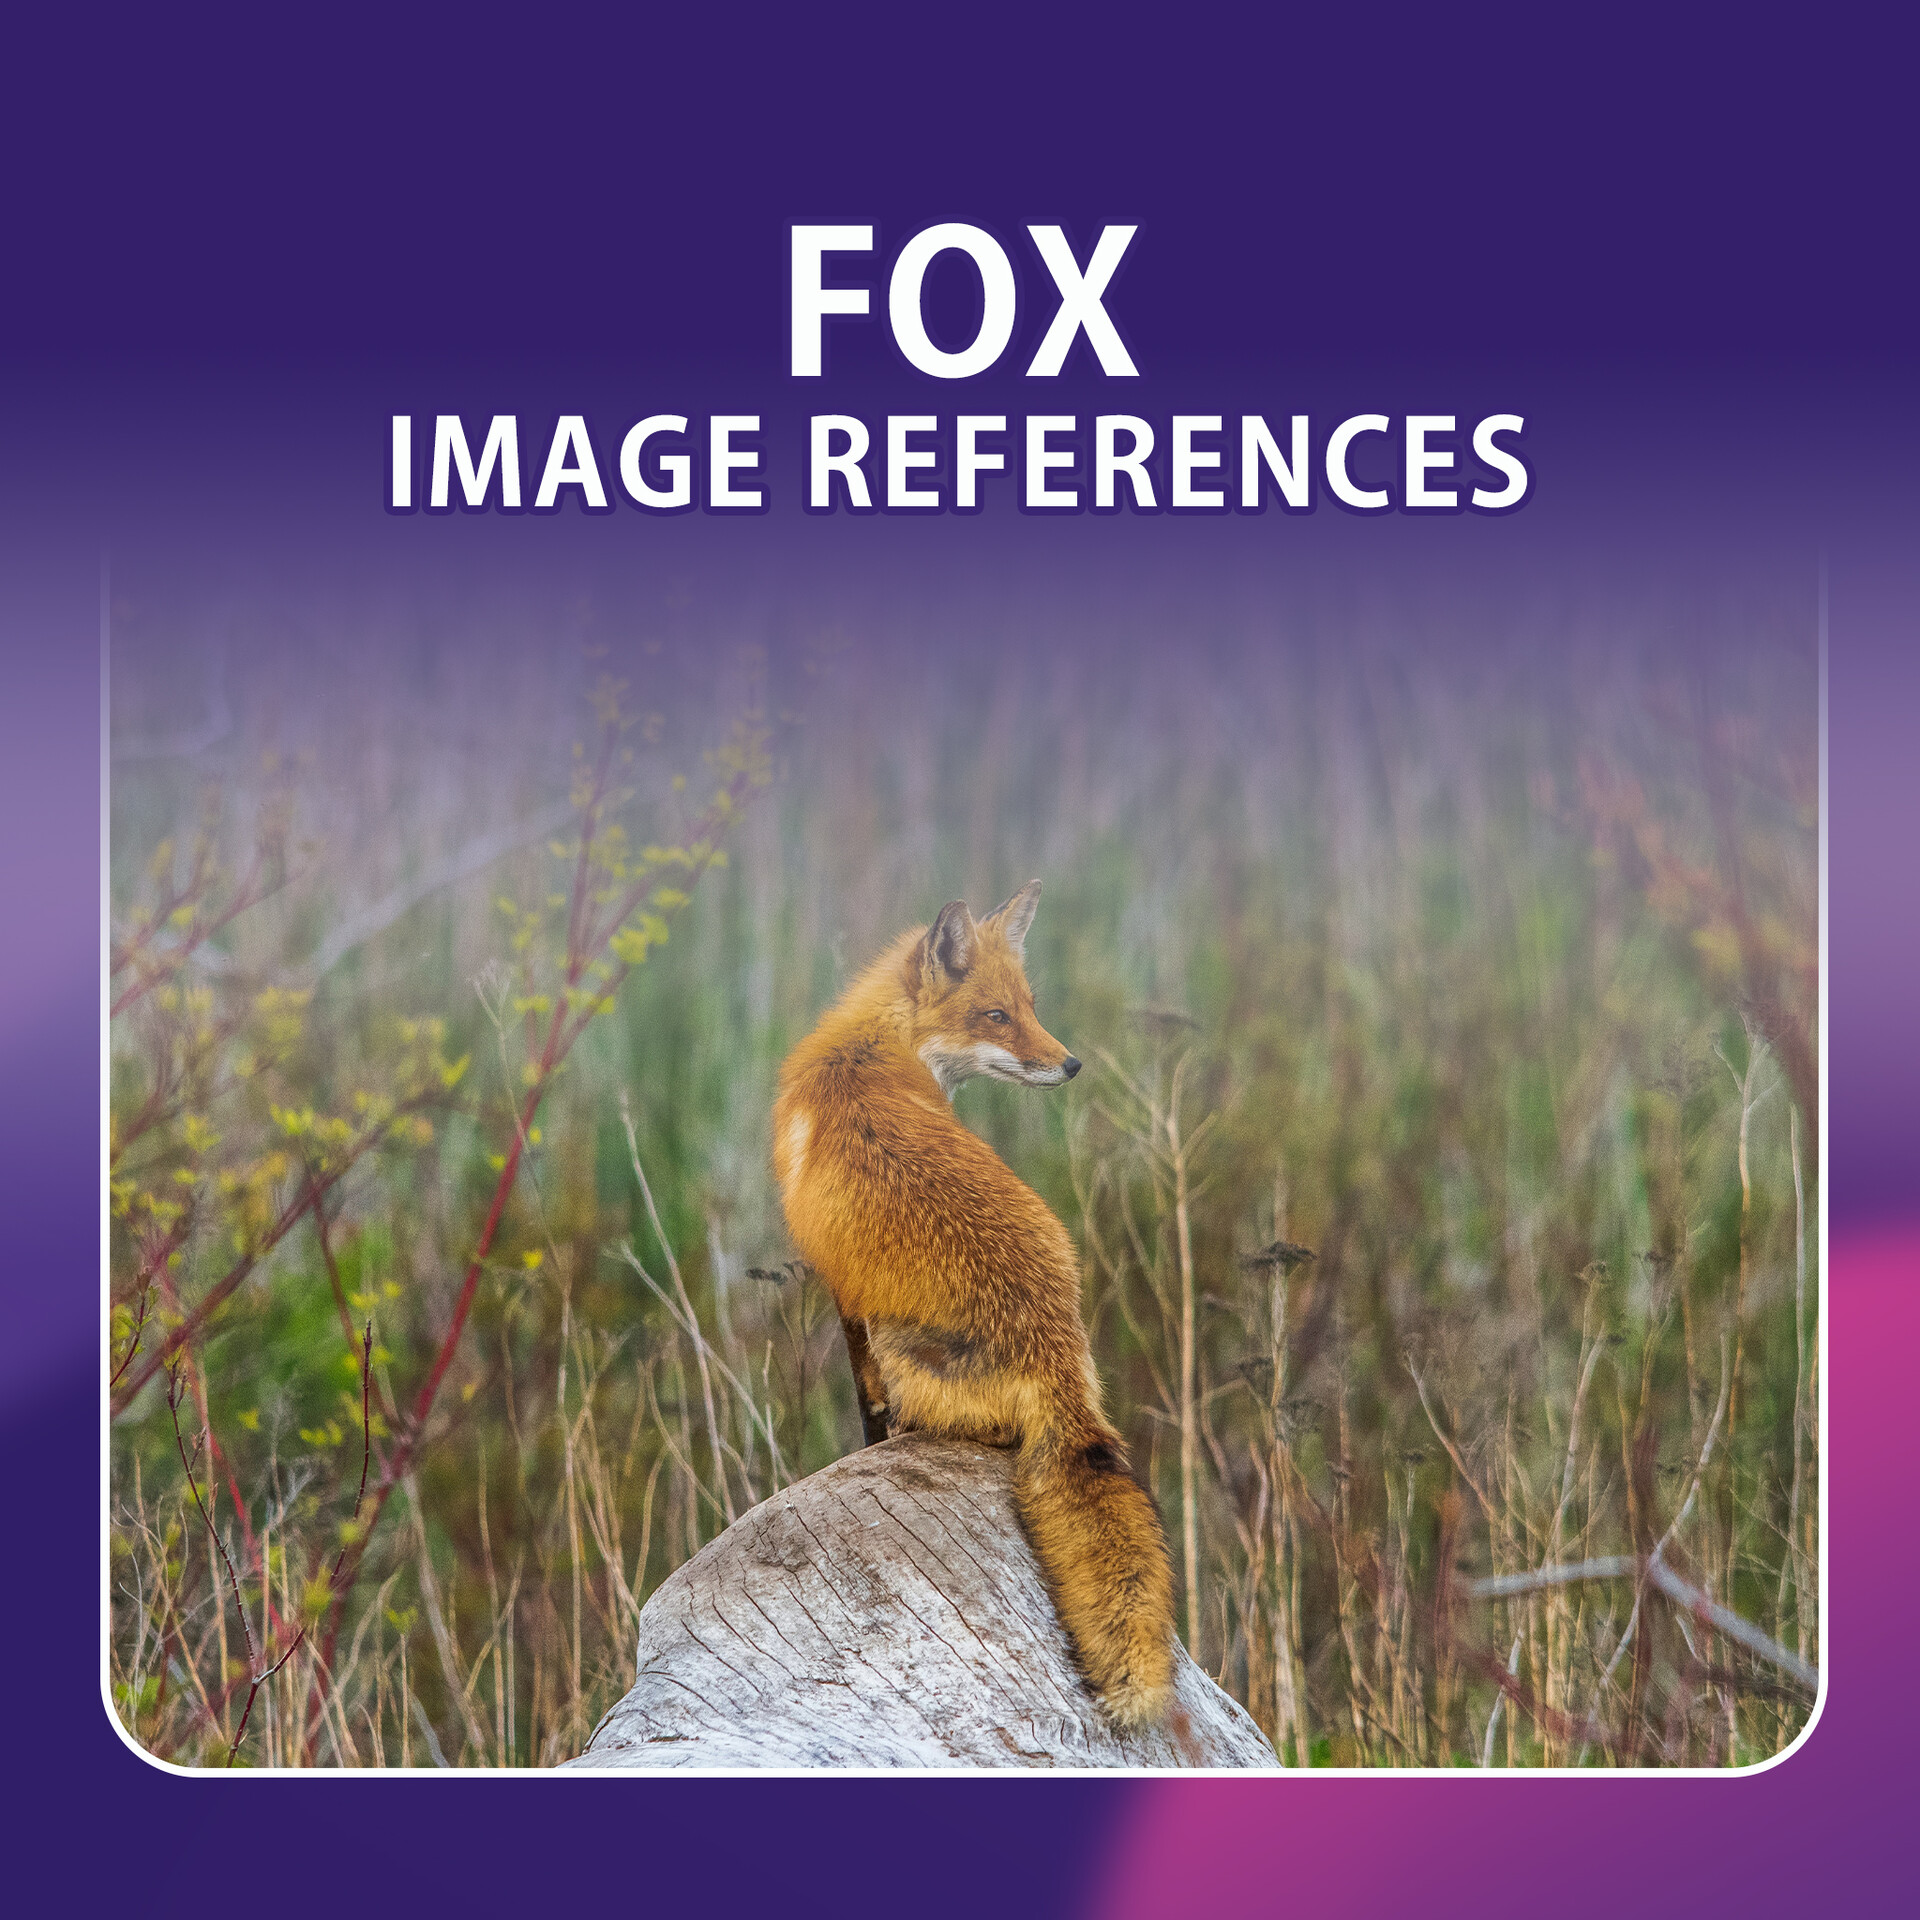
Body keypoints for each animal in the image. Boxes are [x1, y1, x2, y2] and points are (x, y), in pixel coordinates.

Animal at [771, 879, 1176, 1727]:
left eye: (1026, 1006)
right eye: (997, 1015)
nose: (1071, 1063)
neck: (874, 1050)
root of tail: (1054, 1353)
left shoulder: (847, 1295)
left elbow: (865, 1404)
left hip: (903, 1344)